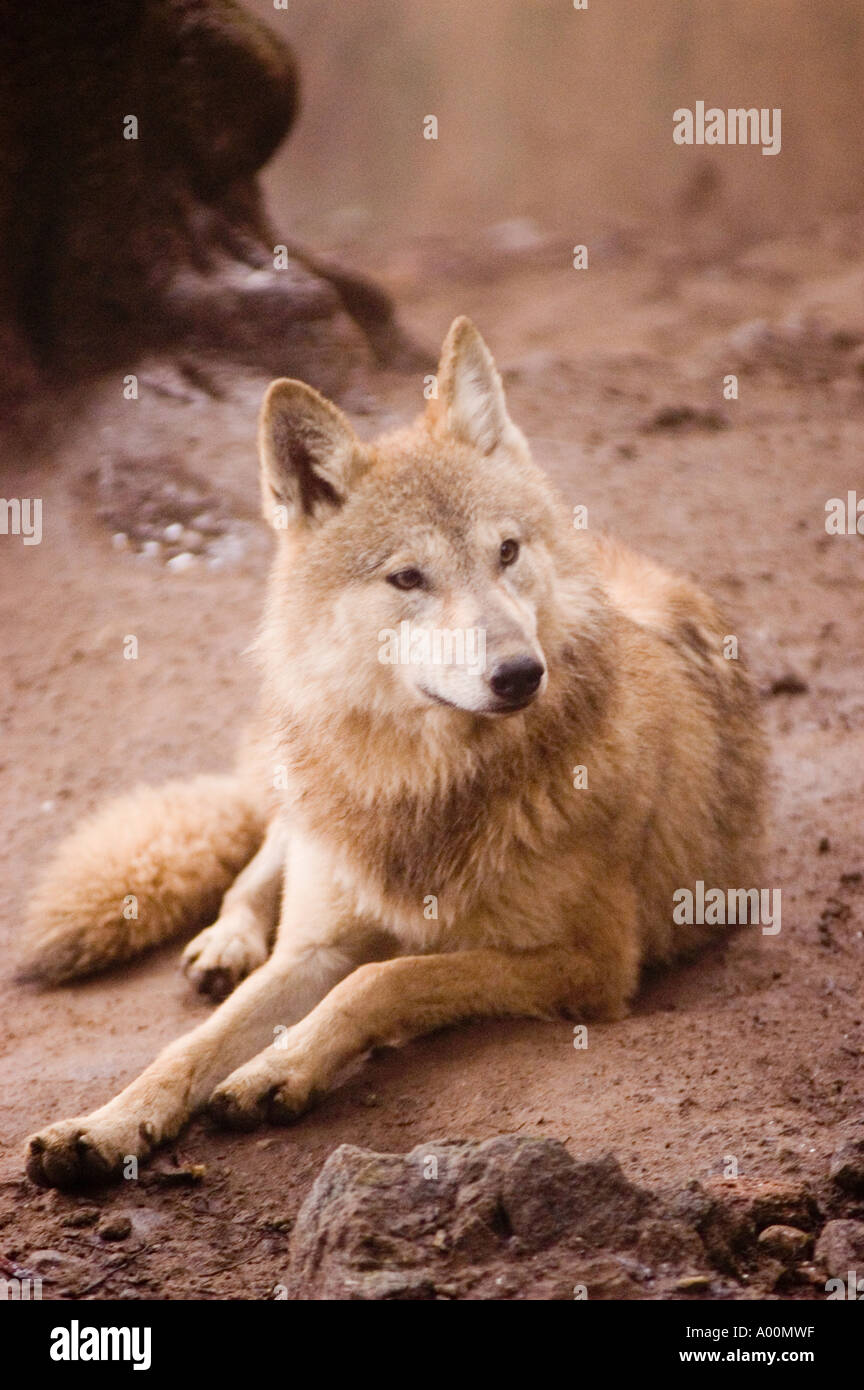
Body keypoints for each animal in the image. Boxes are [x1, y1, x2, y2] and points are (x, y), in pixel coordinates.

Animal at [21, 317, 765, 1188]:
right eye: (408, 577)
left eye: (507, 552)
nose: (520, 673)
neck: (423, 786)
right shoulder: (319, 943)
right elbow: (193, 1045)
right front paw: (105, 1125)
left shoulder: (591, 962)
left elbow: (385, 978)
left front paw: (280, 1068)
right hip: (303, 807)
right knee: (254, 867)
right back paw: (226, 944)